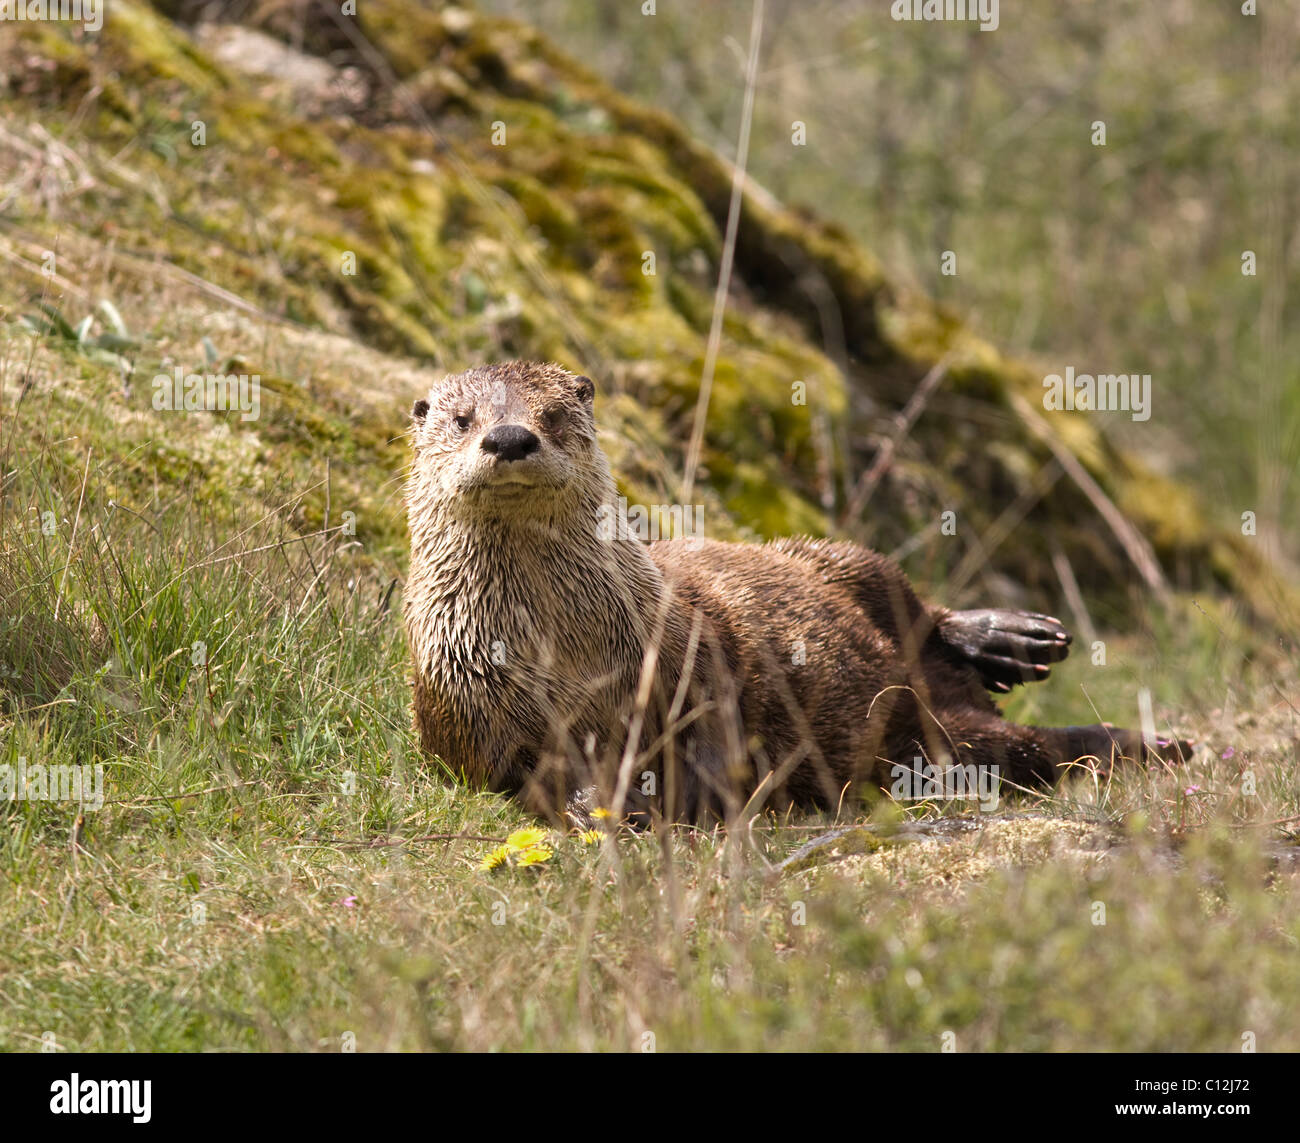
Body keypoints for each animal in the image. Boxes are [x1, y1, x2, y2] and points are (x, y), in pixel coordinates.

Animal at [404, 361, 1188, 825]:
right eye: (461, 419)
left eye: (555, 416)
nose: (510, 437)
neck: (565, 650)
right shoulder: (463, 709)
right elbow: (525, 776)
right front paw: (605, 801)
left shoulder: (687, 644)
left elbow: (717, 727)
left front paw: (687, 797)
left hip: (834, 560)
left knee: (924, 616)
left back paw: (1019, 647)